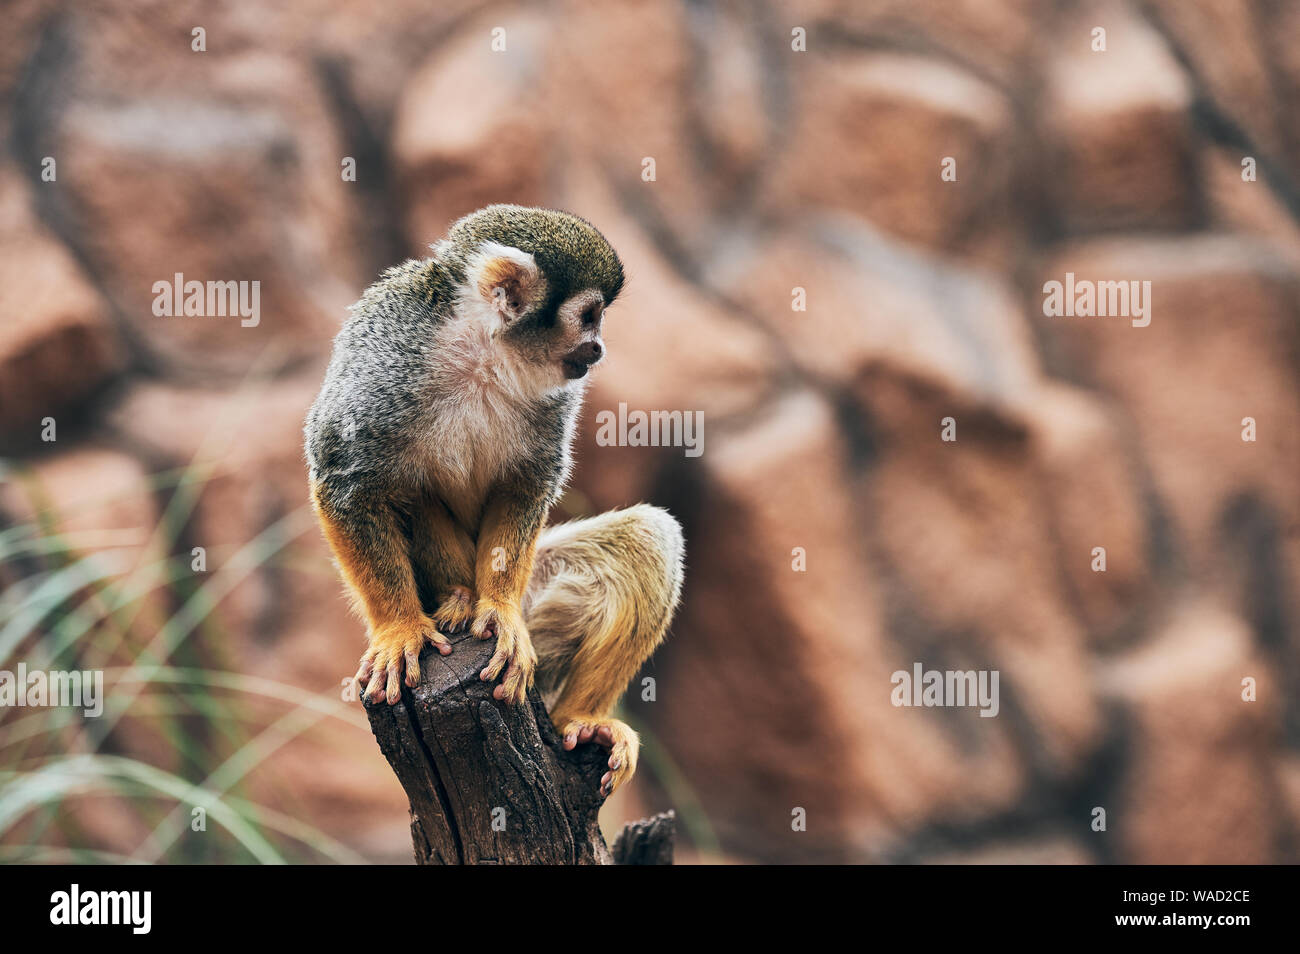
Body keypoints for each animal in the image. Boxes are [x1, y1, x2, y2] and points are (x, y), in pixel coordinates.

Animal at [304, 204, 684, 797]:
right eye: (590, 316)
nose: (599, 349)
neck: (482, 351)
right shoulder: (384, 357)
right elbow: (345, 478)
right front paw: (398, 627)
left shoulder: (556, 396)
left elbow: (525, 485)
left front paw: (499, 609)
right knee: (409, 490)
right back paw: (456, 597)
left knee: (649, 537)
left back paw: (579, 718)